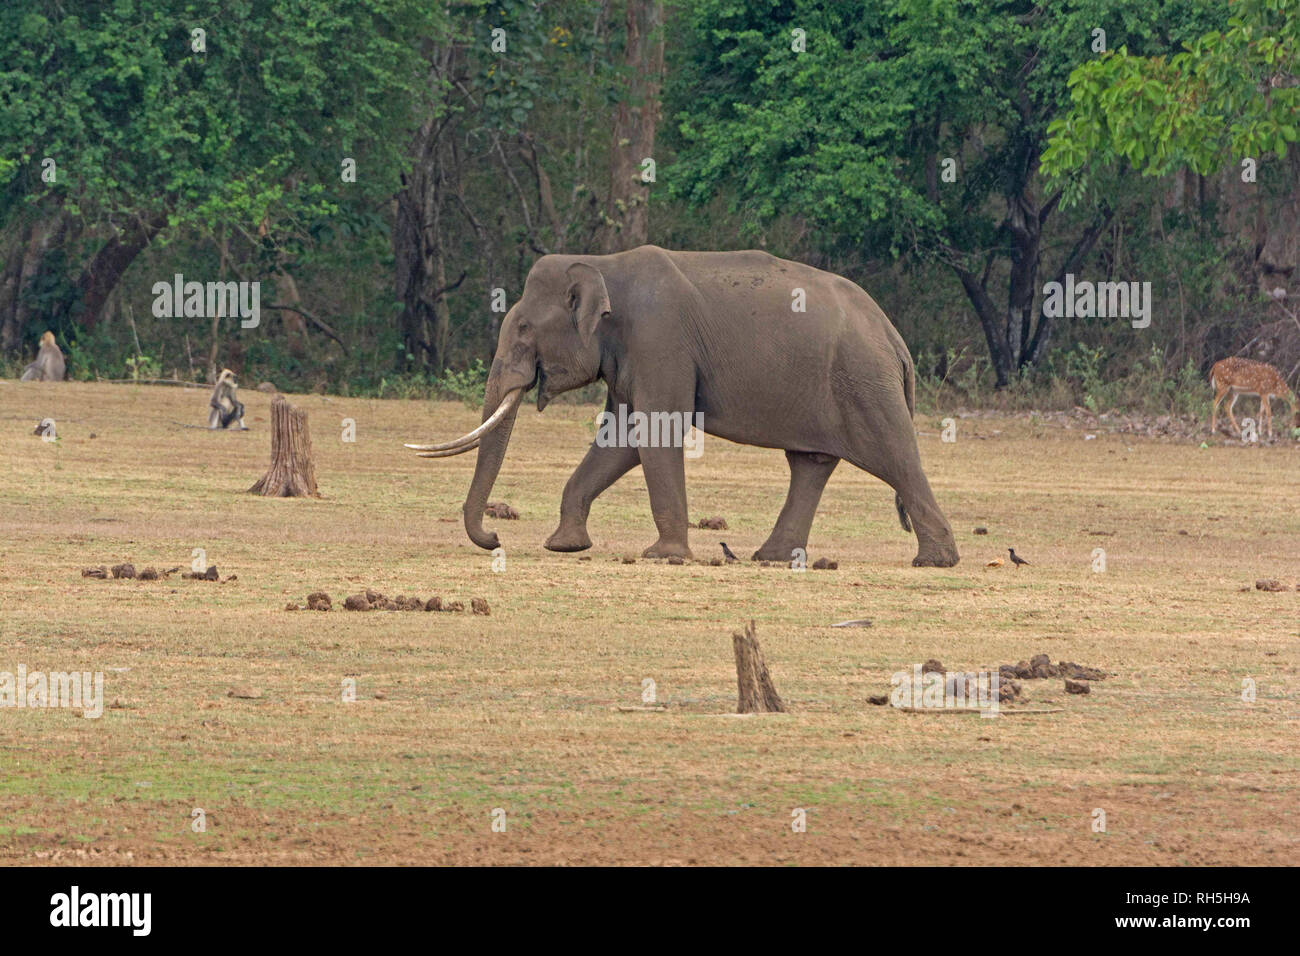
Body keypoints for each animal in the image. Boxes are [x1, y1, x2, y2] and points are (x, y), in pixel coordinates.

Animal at [408, 245, 959, 567]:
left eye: (523, 328)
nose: (495, 536)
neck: (604, 264)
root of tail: (894, 337)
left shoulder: (659, 340)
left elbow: (655, 432)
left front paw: (663, 556)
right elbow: (620, 439)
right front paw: (565, 545)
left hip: (864, 382)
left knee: (895, 456)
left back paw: (935, 561)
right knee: (811, 463)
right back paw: (770, 557)